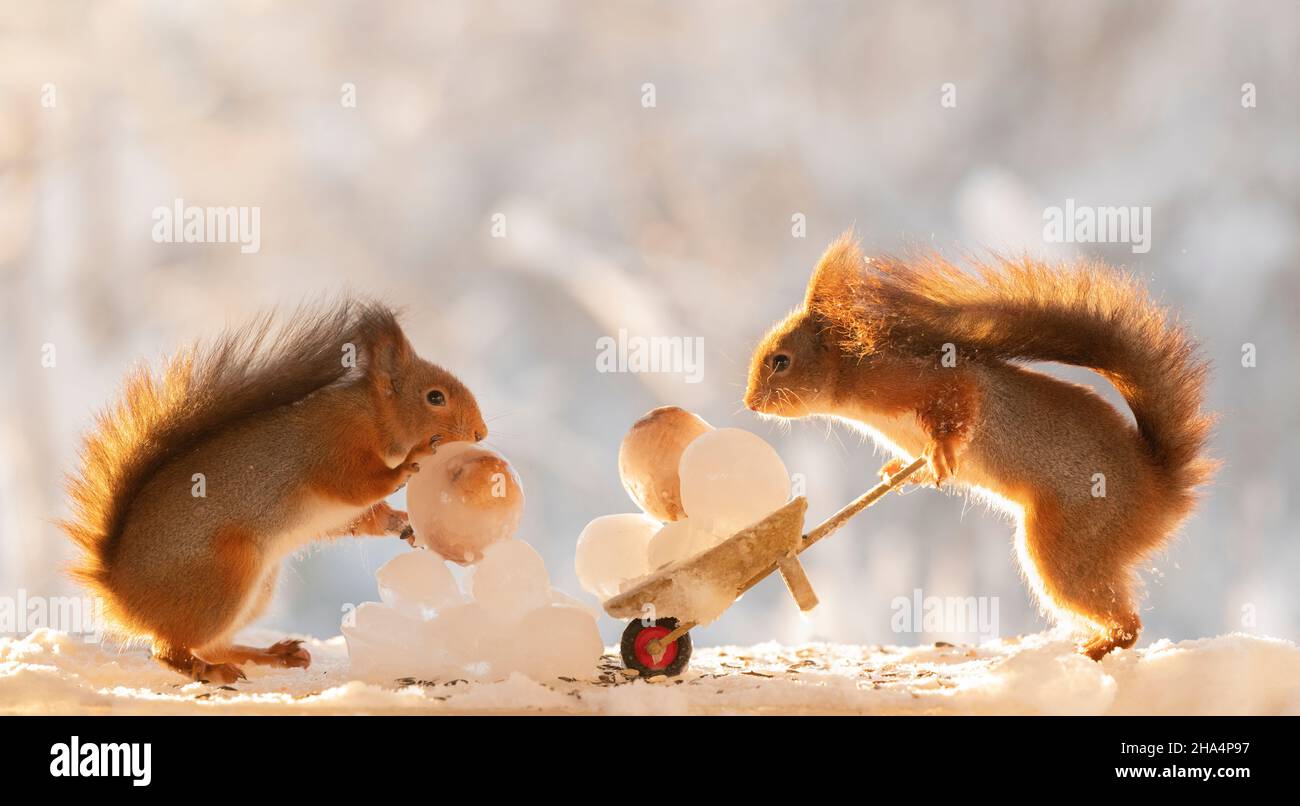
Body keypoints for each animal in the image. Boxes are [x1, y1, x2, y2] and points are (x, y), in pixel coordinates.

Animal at [60, 299, 488, 683]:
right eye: (435, 397)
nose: (481, 433)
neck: (371, 414)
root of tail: (119, 594)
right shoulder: (332, 445)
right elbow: (358, 485)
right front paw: (414, 459)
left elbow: (364, 516)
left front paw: (402, 524)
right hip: (222, 580)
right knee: (169, 649)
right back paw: (208, 670)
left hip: (255, 590)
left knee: (213, 643)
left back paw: (271, 656)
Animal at [745, 234, 1215, 659]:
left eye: (781, 361)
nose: (750, 403)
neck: (850, 375)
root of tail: (1160, 494)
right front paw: (896, 473)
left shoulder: (915, 380)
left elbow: (962, 398)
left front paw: (941, 451)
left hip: (1072, 540)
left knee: (1125, 622)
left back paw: (1095, 649)